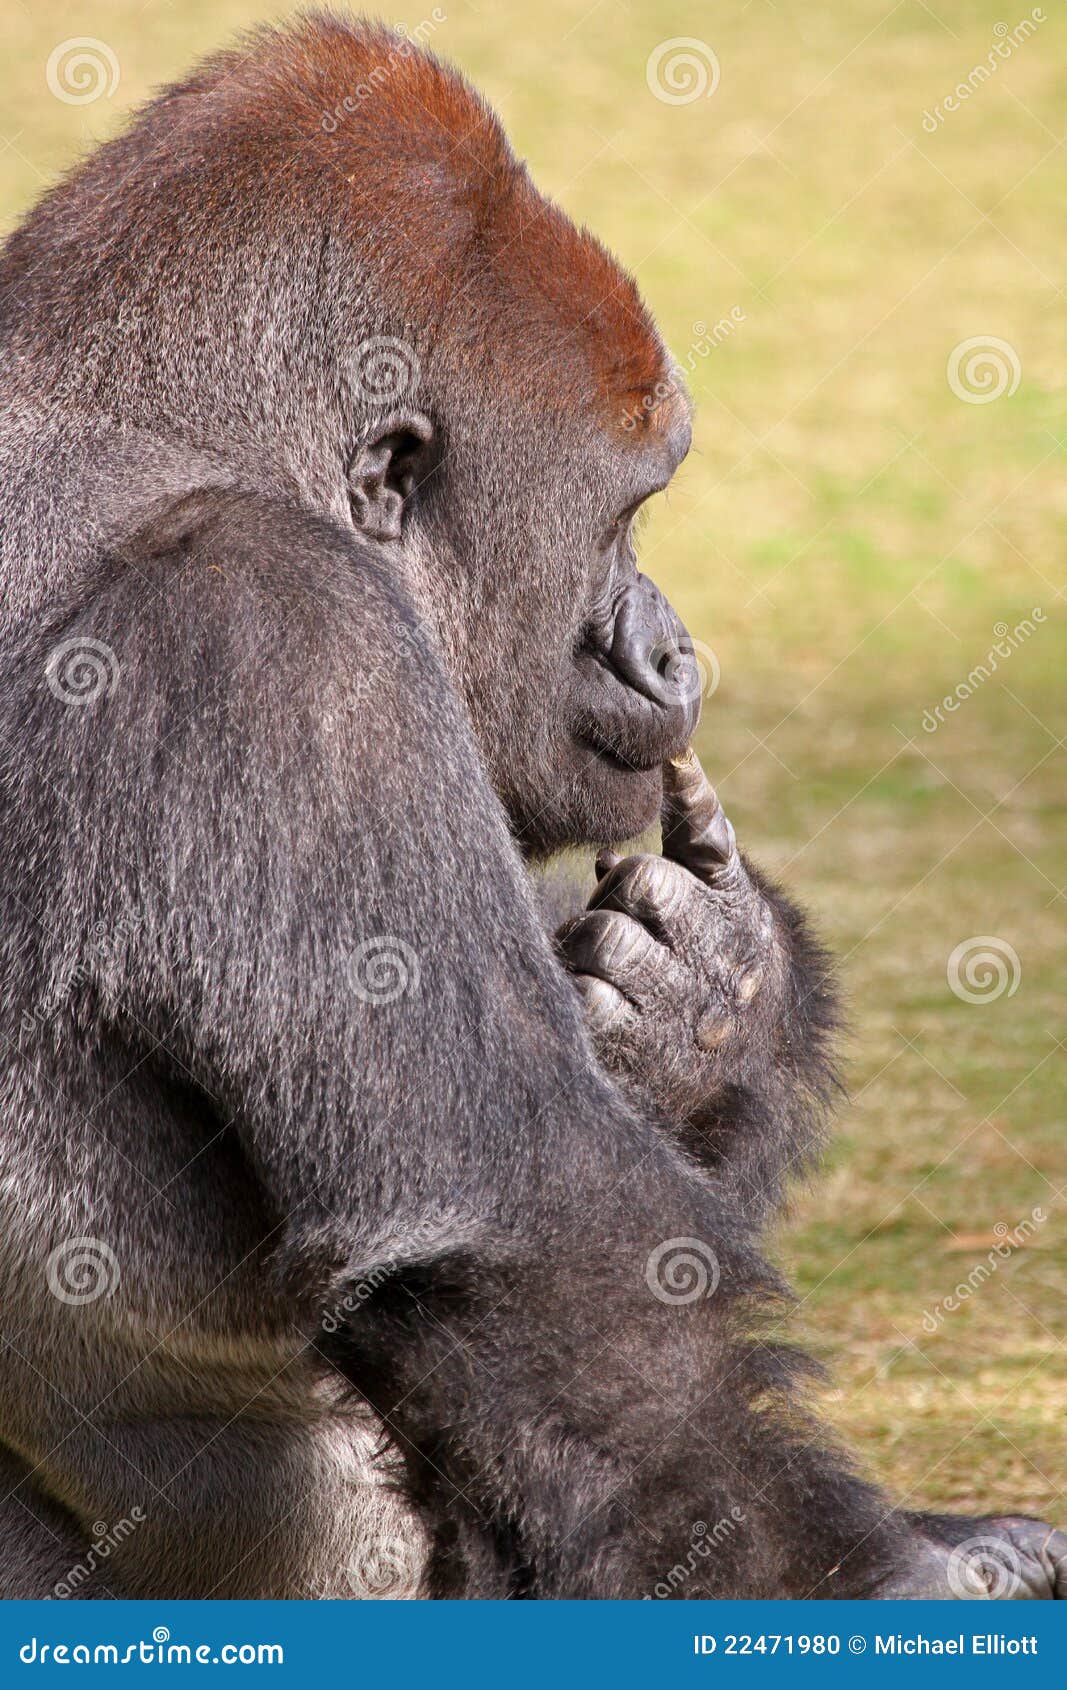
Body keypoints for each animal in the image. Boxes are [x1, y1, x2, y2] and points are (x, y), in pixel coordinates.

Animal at [0, 14, 1062, 1600]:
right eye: (624, 515)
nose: (675, 647)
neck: (144, 418)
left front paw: (708, 1004)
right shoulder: (289, 637)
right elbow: (527, 1241)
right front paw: (888, 1589)